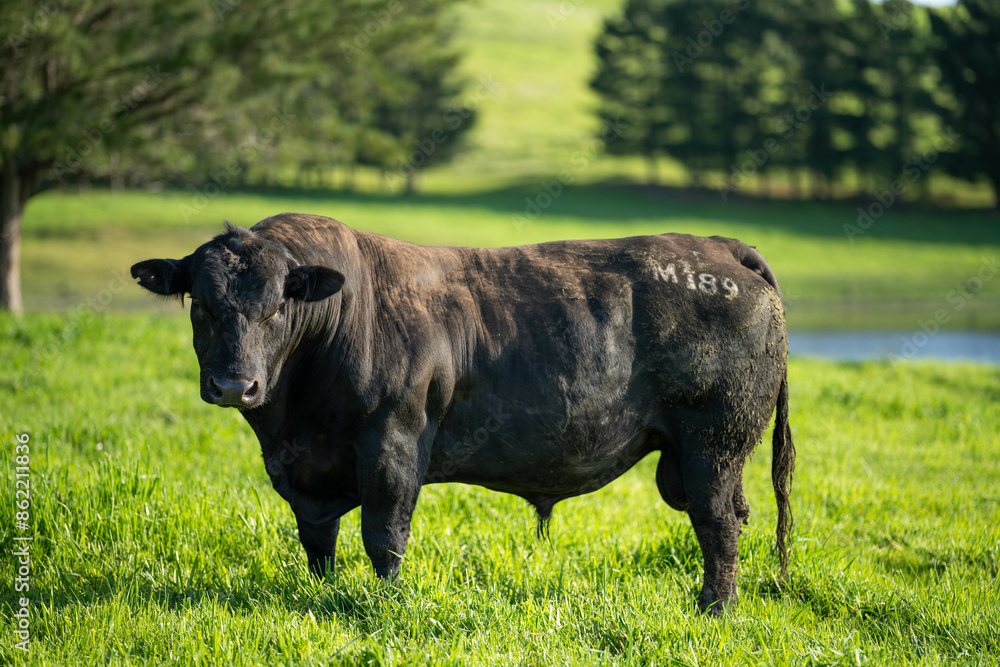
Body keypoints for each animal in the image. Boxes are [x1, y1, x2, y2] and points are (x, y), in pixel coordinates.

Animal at [131, 213, 795, 615]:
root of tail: (717, 246)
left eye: (276, 308)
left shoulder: (394, 443)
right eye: (201, 305)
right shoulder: (305, 470)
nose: (234, 385)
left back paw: (714, 608)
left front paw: (385, 605)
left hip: (712, 444)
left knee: (718, 524)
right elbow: (318, 539)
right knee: (733, 516)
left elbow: (384, 535)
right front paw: (322, 595)